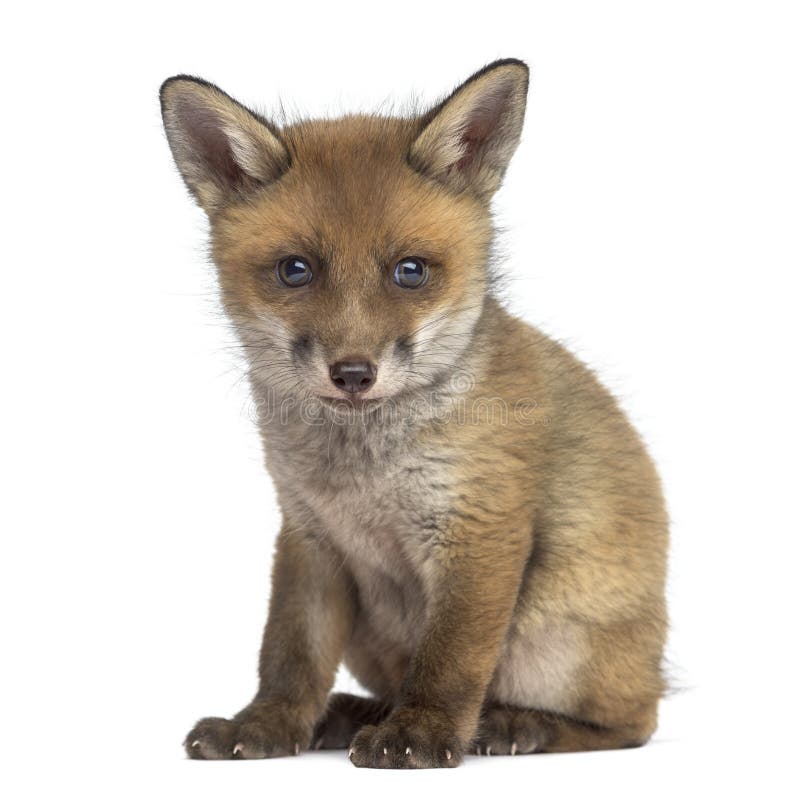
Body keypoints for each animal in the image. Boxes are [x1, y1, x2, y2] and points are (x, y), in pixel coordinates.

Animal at [160, 59, 669, 769]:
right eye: (295, 270)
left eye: (410, 271)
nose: (352, 374)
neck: (363, 472)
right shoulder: (308, 536)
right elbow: (289, 654)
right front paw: (267, 724)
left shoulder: (480, 529)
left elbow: (450, 660)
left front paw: (421, 733)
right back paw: (351, 713)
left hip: (555, 643)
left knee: (631, 723)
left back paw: (516, 725)